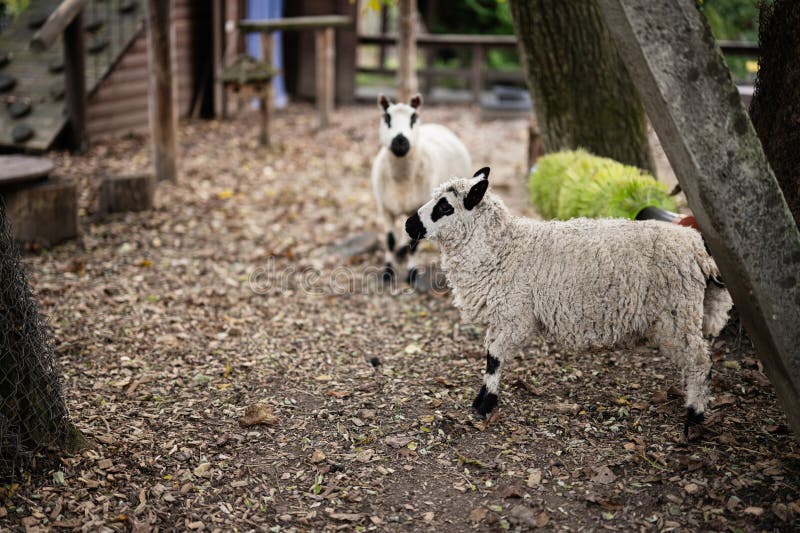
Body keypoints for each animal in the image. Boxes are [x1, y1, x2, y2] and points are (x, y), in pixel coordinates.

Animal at [371, 94, 471, 283]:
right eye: (387, 117)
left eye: (413, 117)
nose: (400, 141)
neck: (402, 181)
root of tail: (438, 126)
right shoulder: (385, 208)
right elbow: (390, 240)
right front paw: (387, 272)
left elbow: (414, 243)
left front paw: (411, 273)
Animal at [405, 168, 733, 435]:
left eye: (445, 207)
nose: (409, 225)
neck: (503, 248)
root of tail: (697, 248)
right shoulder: (501, 315)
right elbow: (490, 354)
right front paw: (482, 401)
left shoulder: (515, 315)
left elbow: (494, 356)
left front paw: (485, 404)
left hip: (677, 312)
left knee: (699, 361)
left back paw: (694, 416)